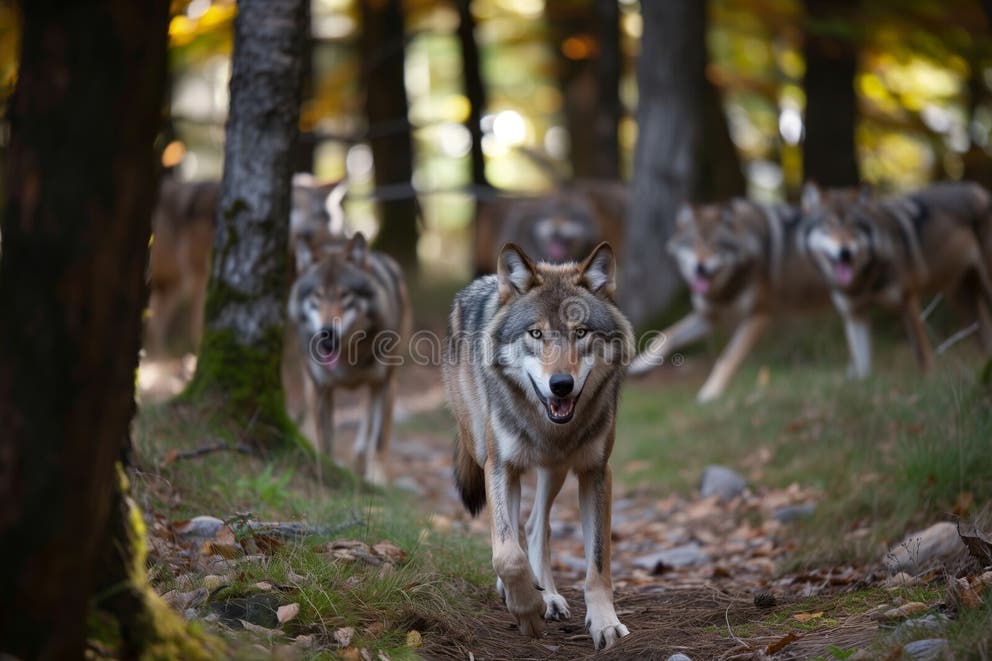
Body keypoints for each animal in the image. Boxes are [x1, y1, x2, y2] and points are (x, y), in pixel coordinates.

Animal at [287, 232, 410, 484]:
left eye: (345, 295)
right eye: (318, 296)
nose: (327, 332)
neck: (347, 359)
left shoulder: (386, 383)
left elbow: (379, 439)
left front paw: (377, 481)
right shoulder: (318, 386)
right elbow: (324, 437)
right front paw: (325, 467)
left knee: (368, 415)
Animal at [443, 242, 634, 649]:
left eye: (581, 332)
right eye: (535, 333)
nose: (561, 384)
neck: (548, 426)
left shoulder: (596, 471)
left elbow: (598, 563)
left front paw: (604, 623)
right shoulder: (500, 466)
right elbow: (507, 554)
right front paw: (527, 610)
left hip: (555, 470)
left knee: (535, 526)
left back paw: (550, 595)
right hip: (487, 453)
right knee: (514, 532)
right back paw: (529, 595)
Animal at [628, 199, 833, 401]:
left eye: (716, 245)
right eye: (694, 243)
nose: (700, 267)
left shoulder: (758, 315)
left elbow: (728, 357)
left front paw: (710, 393)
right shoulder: (708, 317)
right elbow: (668, 334)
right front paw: (640, 364)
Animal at [800, 181, 992, 377]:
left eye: (854, 227)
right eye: (828, 226)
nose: (845, 253)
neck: (865, 281)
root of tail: (979, 190)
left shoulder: (907, 301)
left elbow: (922, 354)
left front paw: (929, 380)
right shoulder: (854, 314)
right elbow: (862, 368)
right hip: (962, 299)